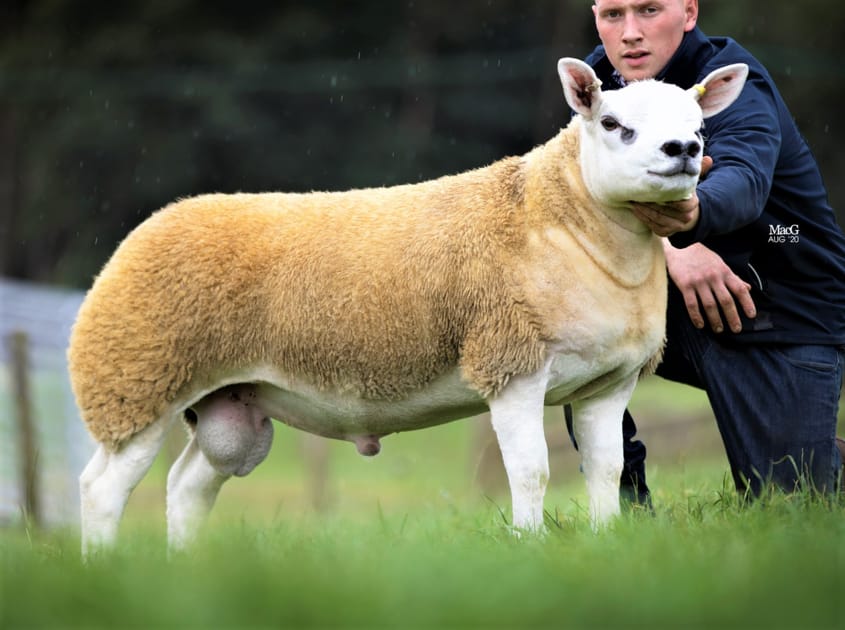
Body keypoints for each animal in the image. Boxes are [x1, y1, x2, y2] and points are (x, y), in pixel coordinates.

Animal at [69, 58, 748, 556]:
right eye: (611, 122)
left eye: (700, 123)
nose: (682, 148)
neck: (566, 222)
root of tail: (151, 225)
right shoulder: (511, 364)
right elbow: (532, 472)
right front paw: (528, 547)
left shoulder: (609, 382)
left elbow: (608, 471)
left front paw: (605, 543)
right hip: (135, 380)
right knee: (101, 489)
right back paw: (103, 569)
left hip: (228, 405)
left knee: (186, 486)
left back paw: (182, 569)